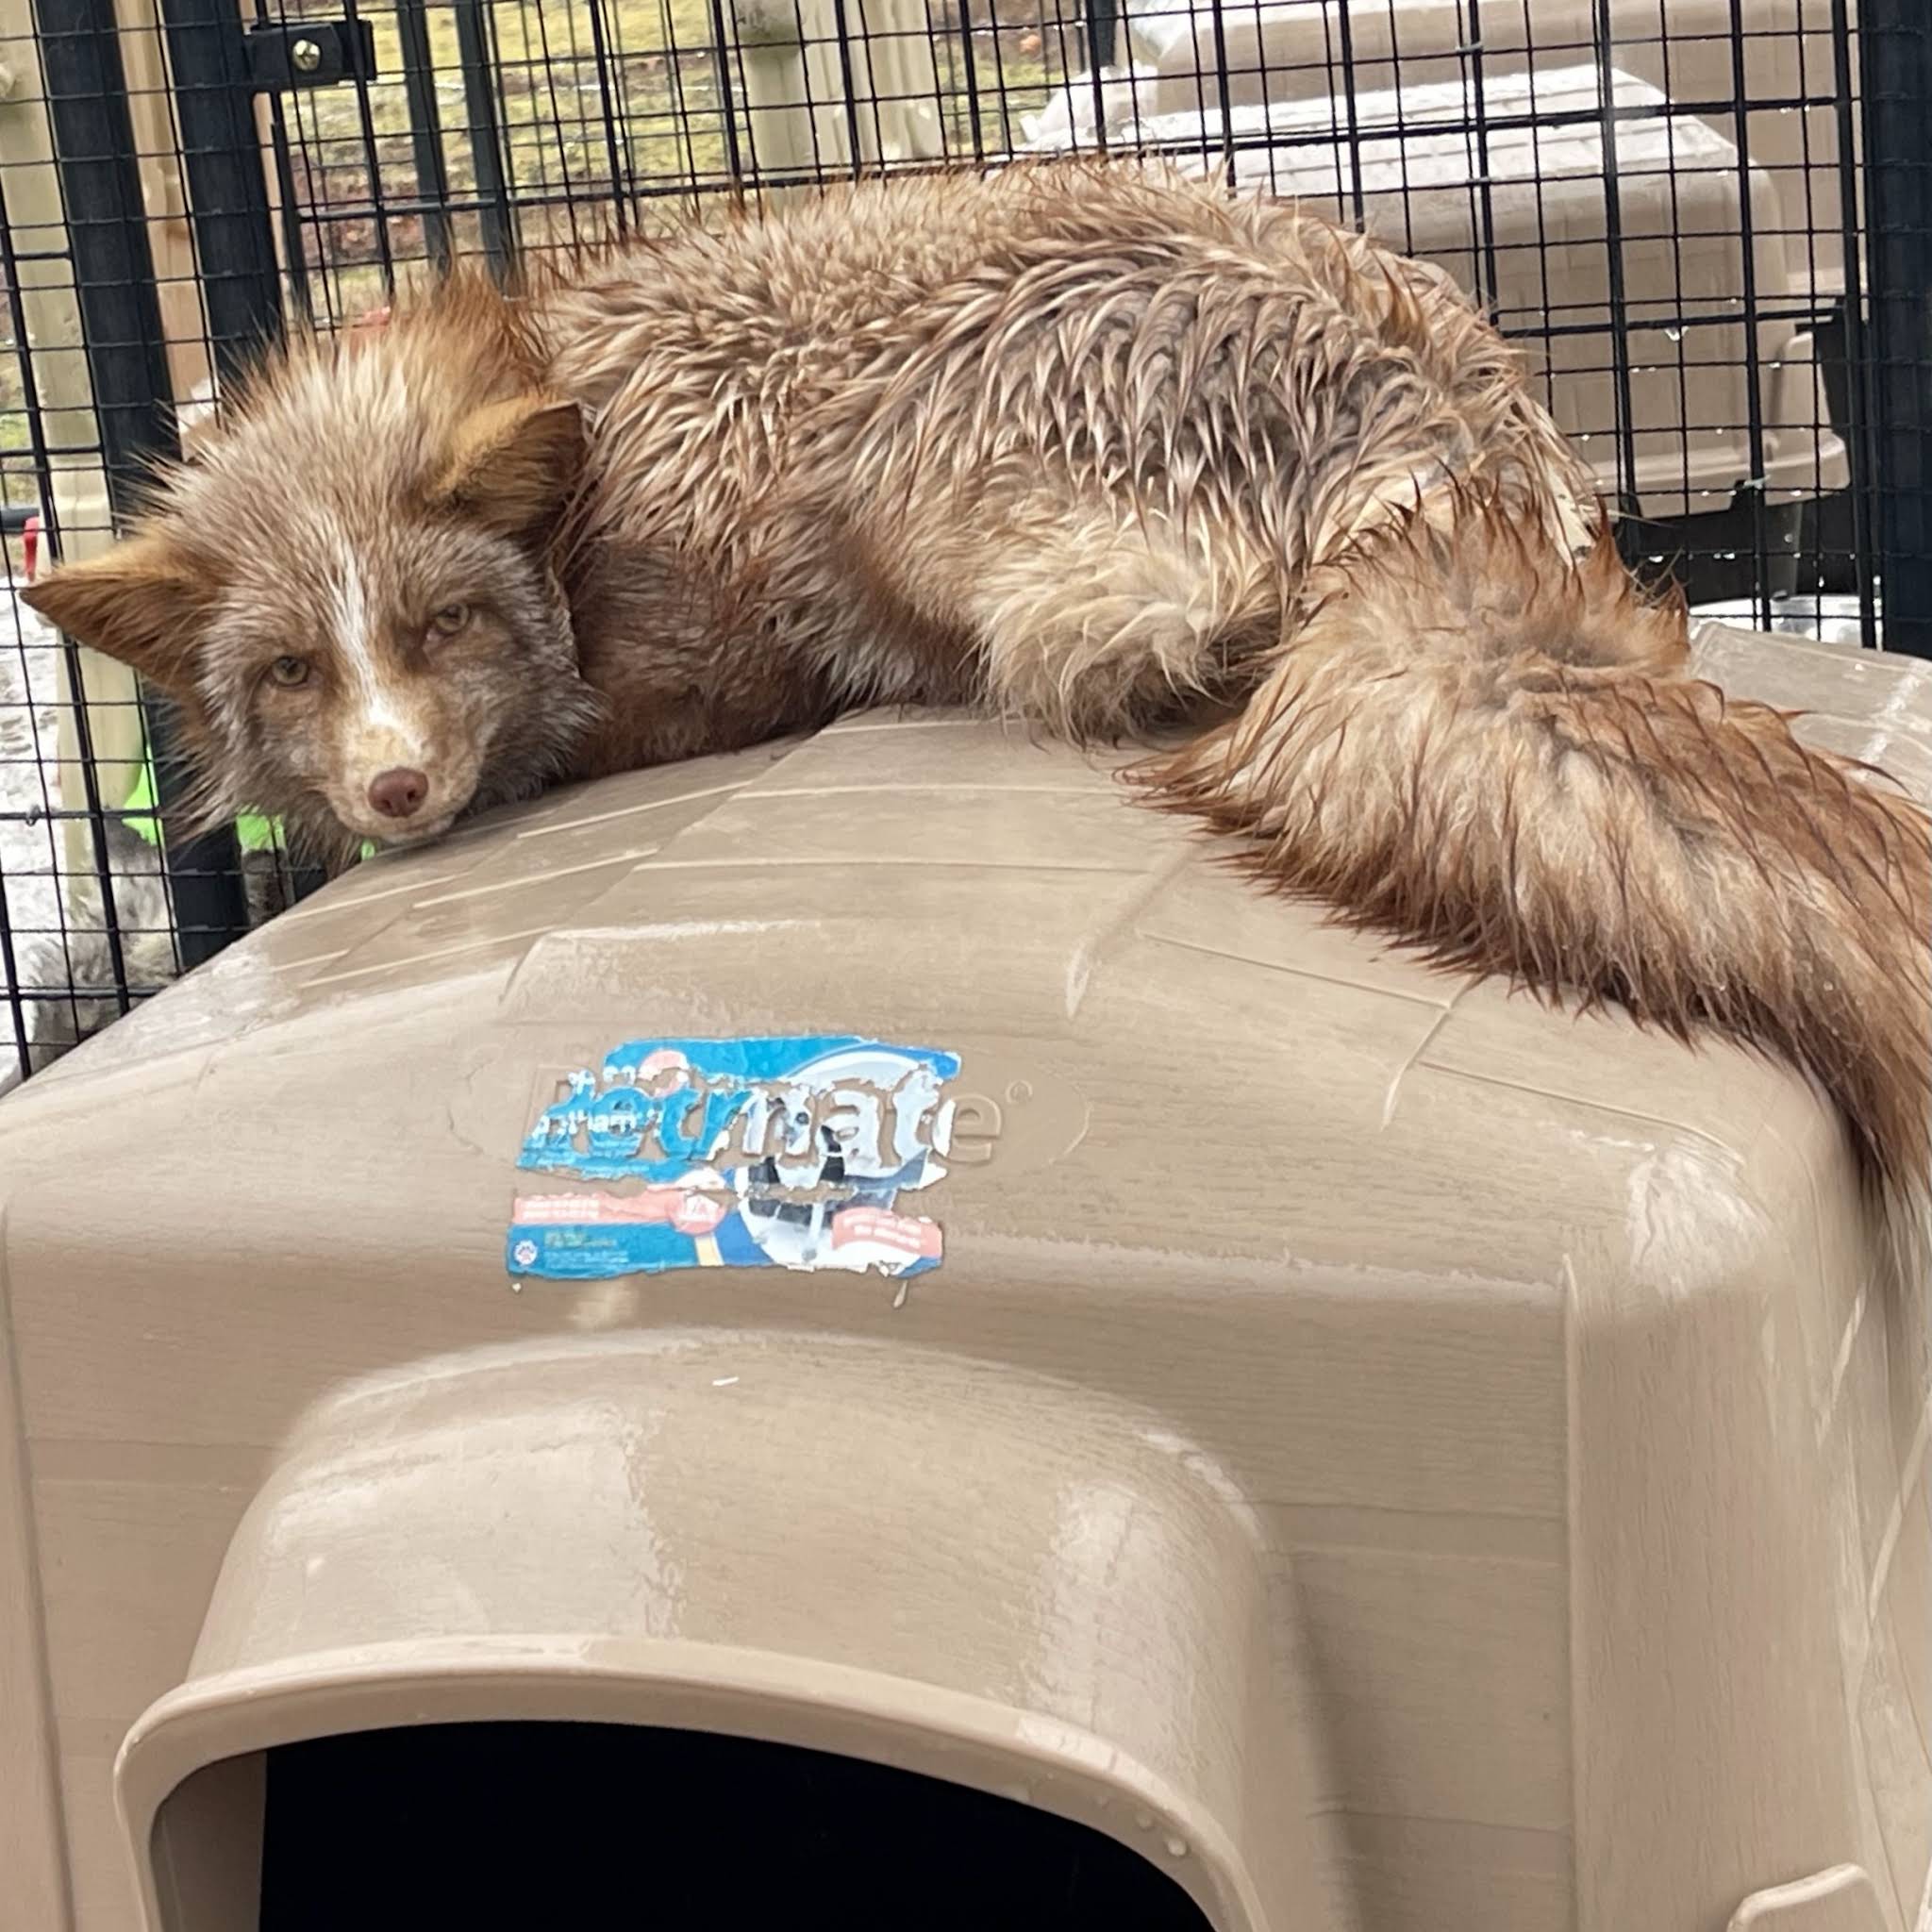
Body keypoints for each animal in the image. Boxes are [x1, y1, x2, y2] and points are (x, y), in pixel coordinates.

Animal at [21, 158, 1932, 1247]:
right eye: (289, 669)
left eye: (439, 624)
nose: (399, 793)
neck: (581, 462)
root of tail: (1446, 427)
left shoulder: (694, 654)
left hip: (922, 502)